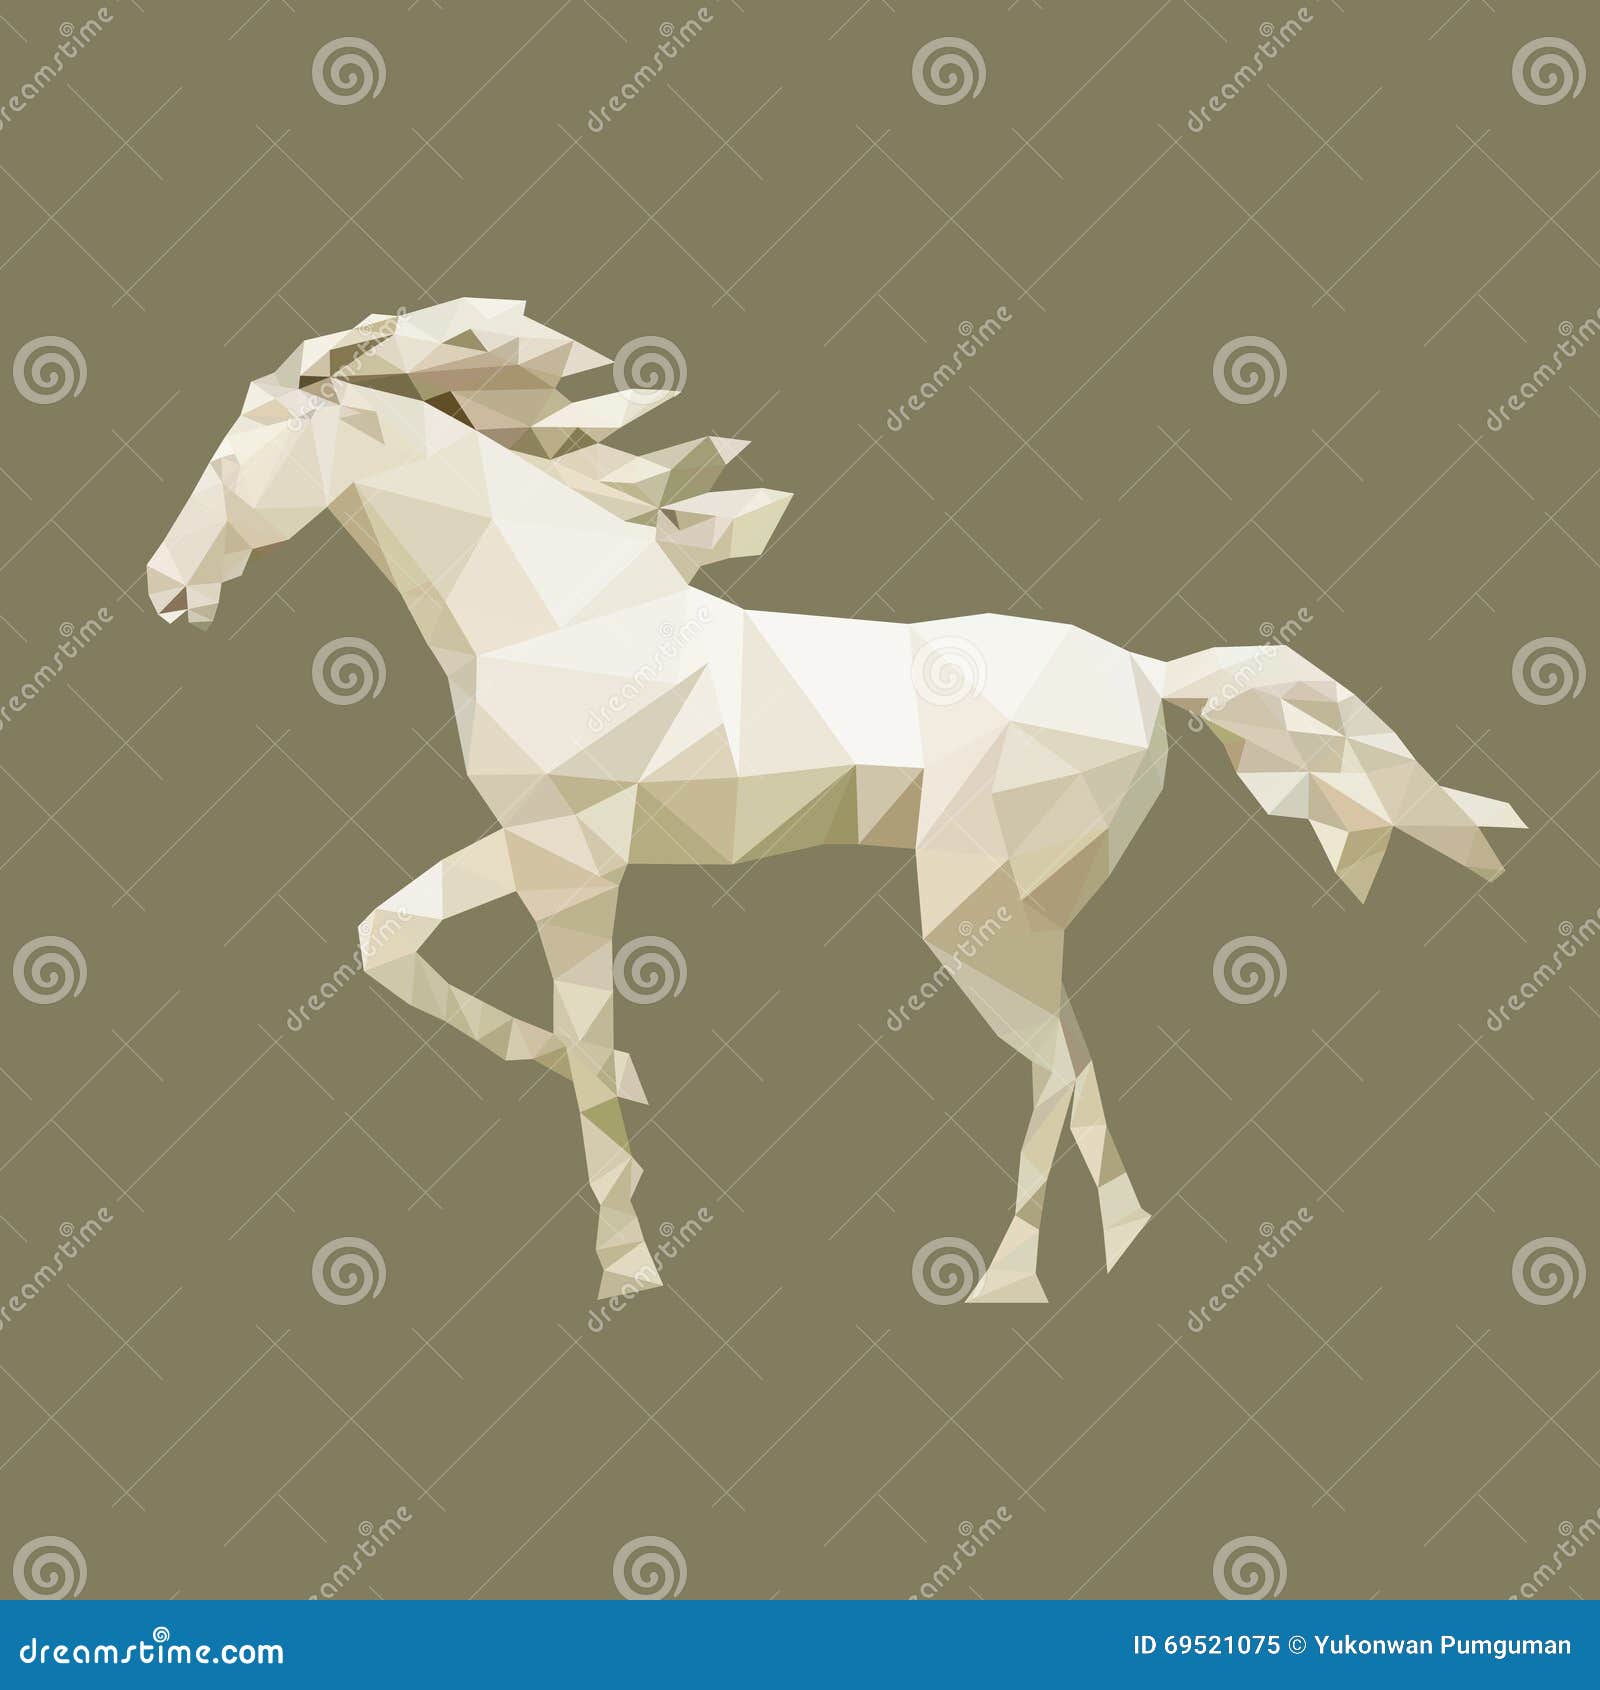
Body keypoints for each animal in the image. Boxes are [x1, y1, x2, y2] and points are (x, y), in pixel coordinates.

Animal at [145, 298, 1523, 1303]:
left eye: (251, 444)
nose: (166, 590)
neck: (555, 616)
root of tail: (1145, 673)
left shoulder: (574, 865)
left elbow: (578, 1036)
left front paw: (627, 1266)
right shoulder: (534, 845)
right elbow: (395, 941)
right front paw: (630, 1117)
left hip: (971, 918)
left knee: (1052, 1068)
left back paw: (1007, 1283)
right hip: (1017, 918)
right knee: (1077, 1057)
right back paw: (1125, 1246)